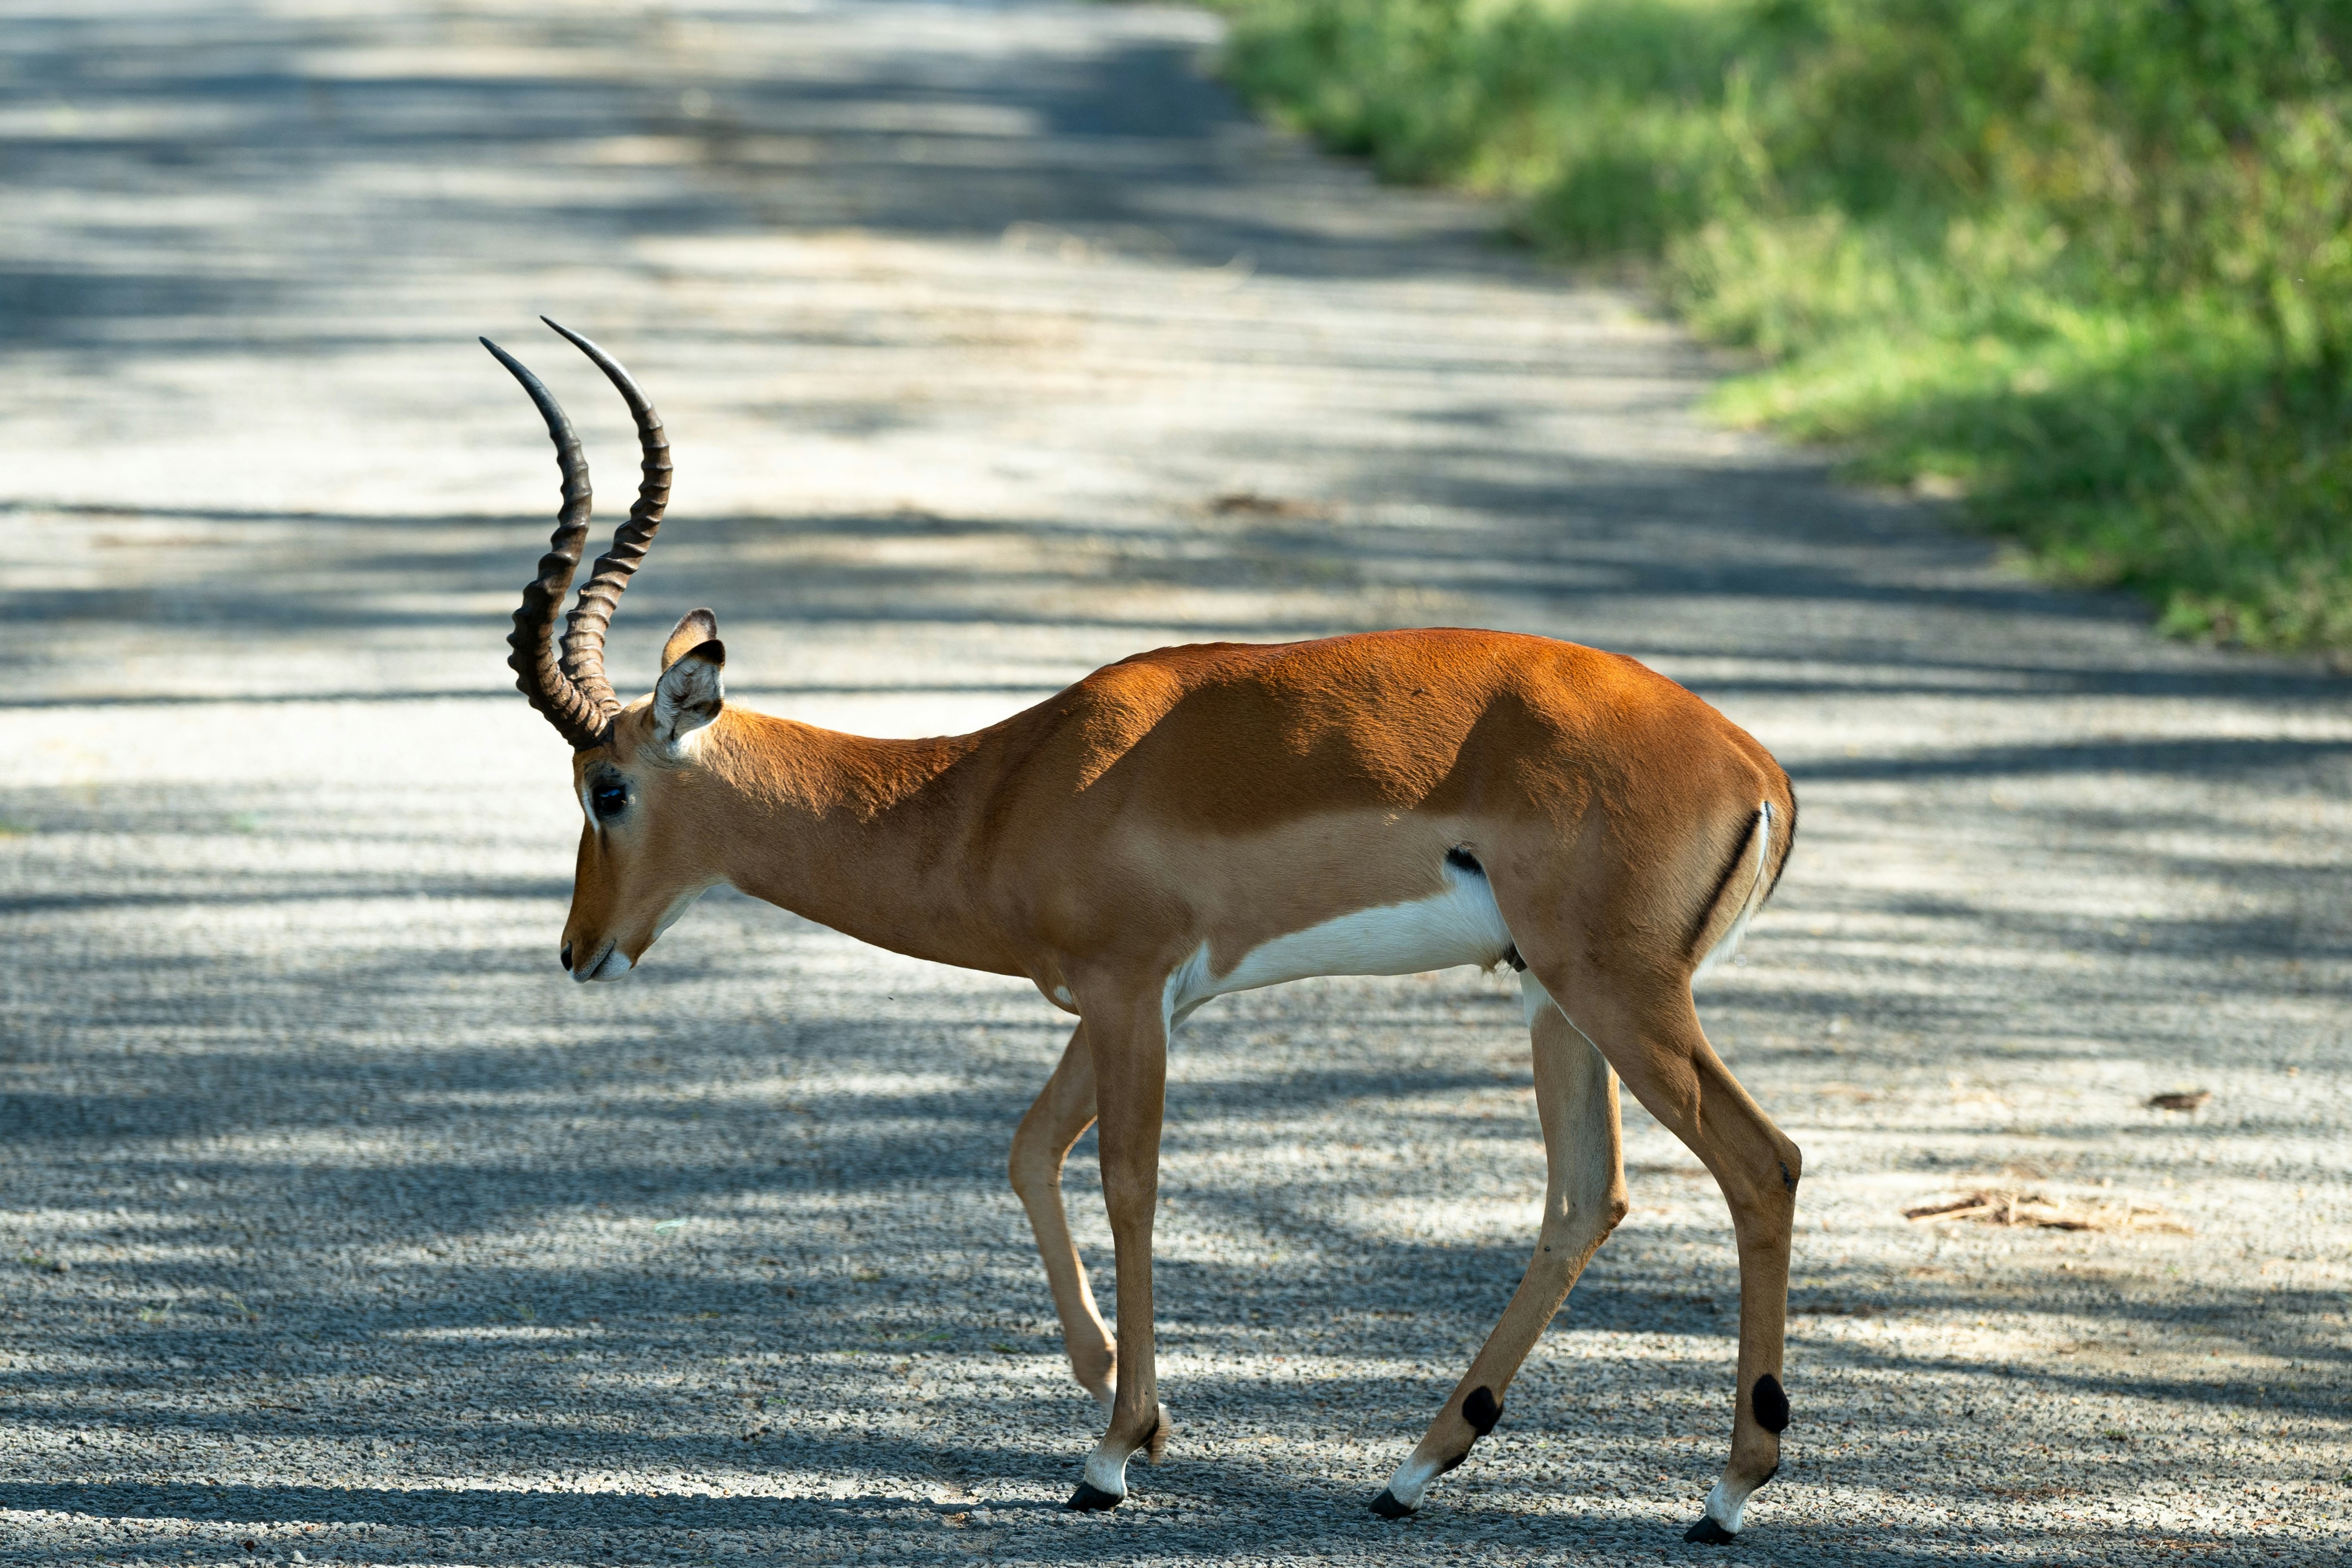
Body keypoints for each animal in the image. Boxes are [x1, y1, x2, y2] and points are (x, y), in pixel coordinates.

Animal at [483, 320, 1803, 1542]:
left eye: (606, 788)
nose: (578, 949)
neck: (1000, 788)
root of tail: (1755, 768)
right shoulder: (1121, 1000)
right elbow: (1029, 1148)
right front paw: (1124, 1398)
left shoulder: (1133, 994)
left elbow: (1129, 1180)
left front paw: (1111, 1452)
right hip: (1553, 998)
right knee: (1585, 1196)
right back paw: (1411, 1470)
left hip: (1622, 992)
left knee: (1762, 1162)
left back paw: (1726, 1491)